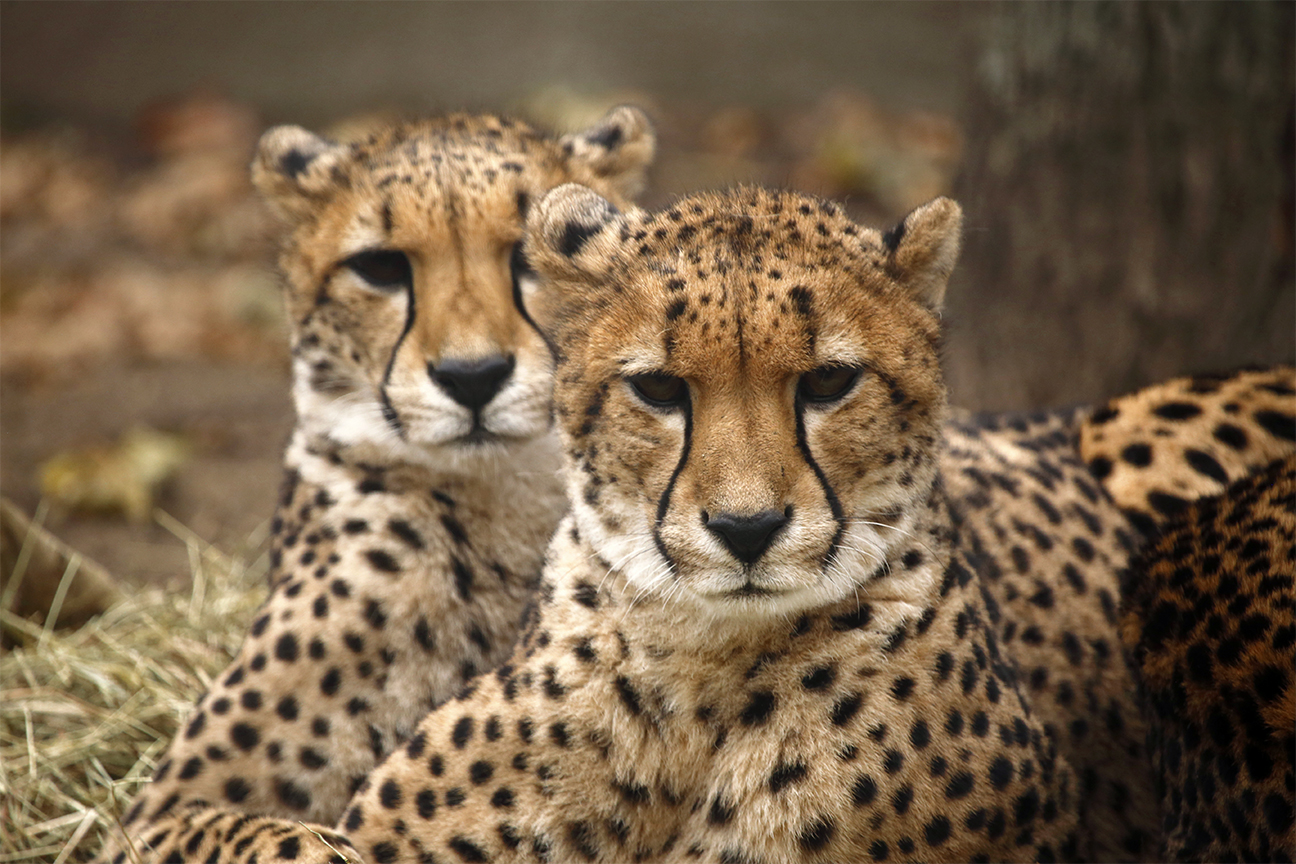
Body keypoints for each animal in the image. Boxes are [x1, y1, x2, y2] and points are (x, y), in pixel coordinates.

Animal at [99, 107, 656, 864]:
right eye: (381, 267)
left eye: (528, 256)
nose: (473, 376)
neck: (503, 499)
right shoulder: (159, 813)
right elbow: (298, 842)